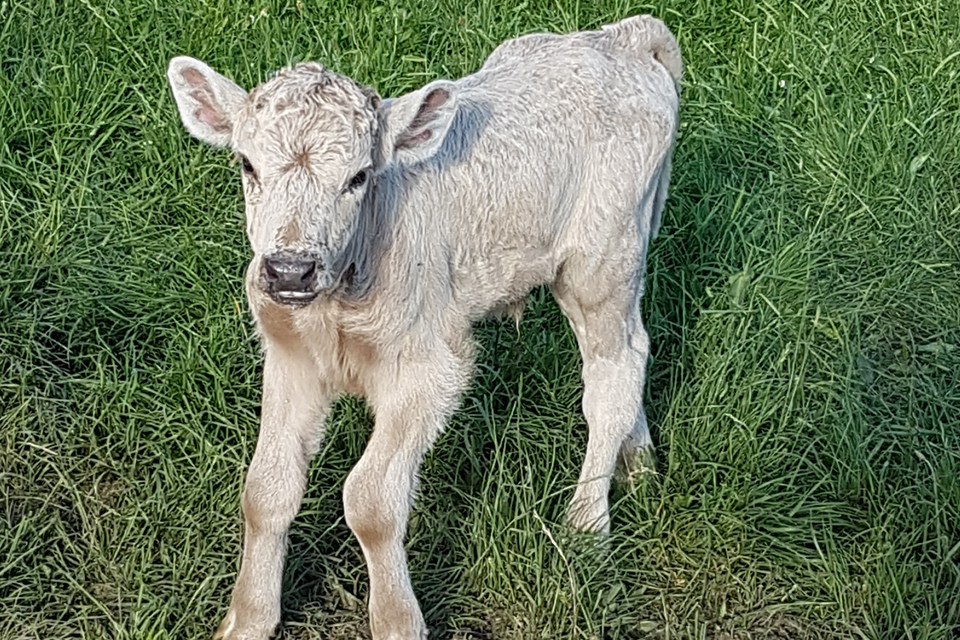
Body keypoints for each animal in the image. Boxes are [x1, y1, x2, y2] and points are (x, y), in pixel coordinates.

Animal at [167, 14, 681, 640]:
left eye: (359, 177)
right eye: (247, 165)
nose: (290, 268)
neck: (338, 302)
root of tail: (623, 37)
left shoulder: (431, 366)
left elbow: (370, 500)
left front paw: (395, 619)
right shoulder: (291, 357)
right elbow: (266, 489)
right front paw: (247, 620)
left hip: (602, 260)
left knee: (614, 371)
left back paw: (586, 525)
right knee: (629, 354)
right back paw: (639, 464)